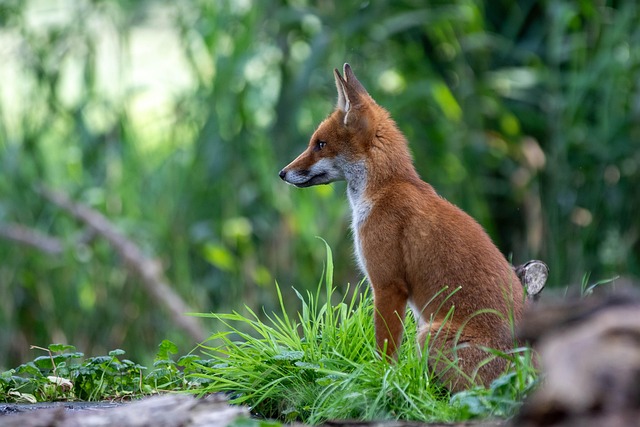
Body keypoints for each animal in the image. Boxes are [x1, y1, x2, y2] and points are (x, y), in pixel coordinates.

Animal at [279, 63, 526, 392]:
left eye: (320, 144)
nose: (282, 173)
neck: (384, 189)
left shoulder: (387, 284)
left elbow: (385, 350)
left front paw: (379, 381)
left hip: (430, 335)